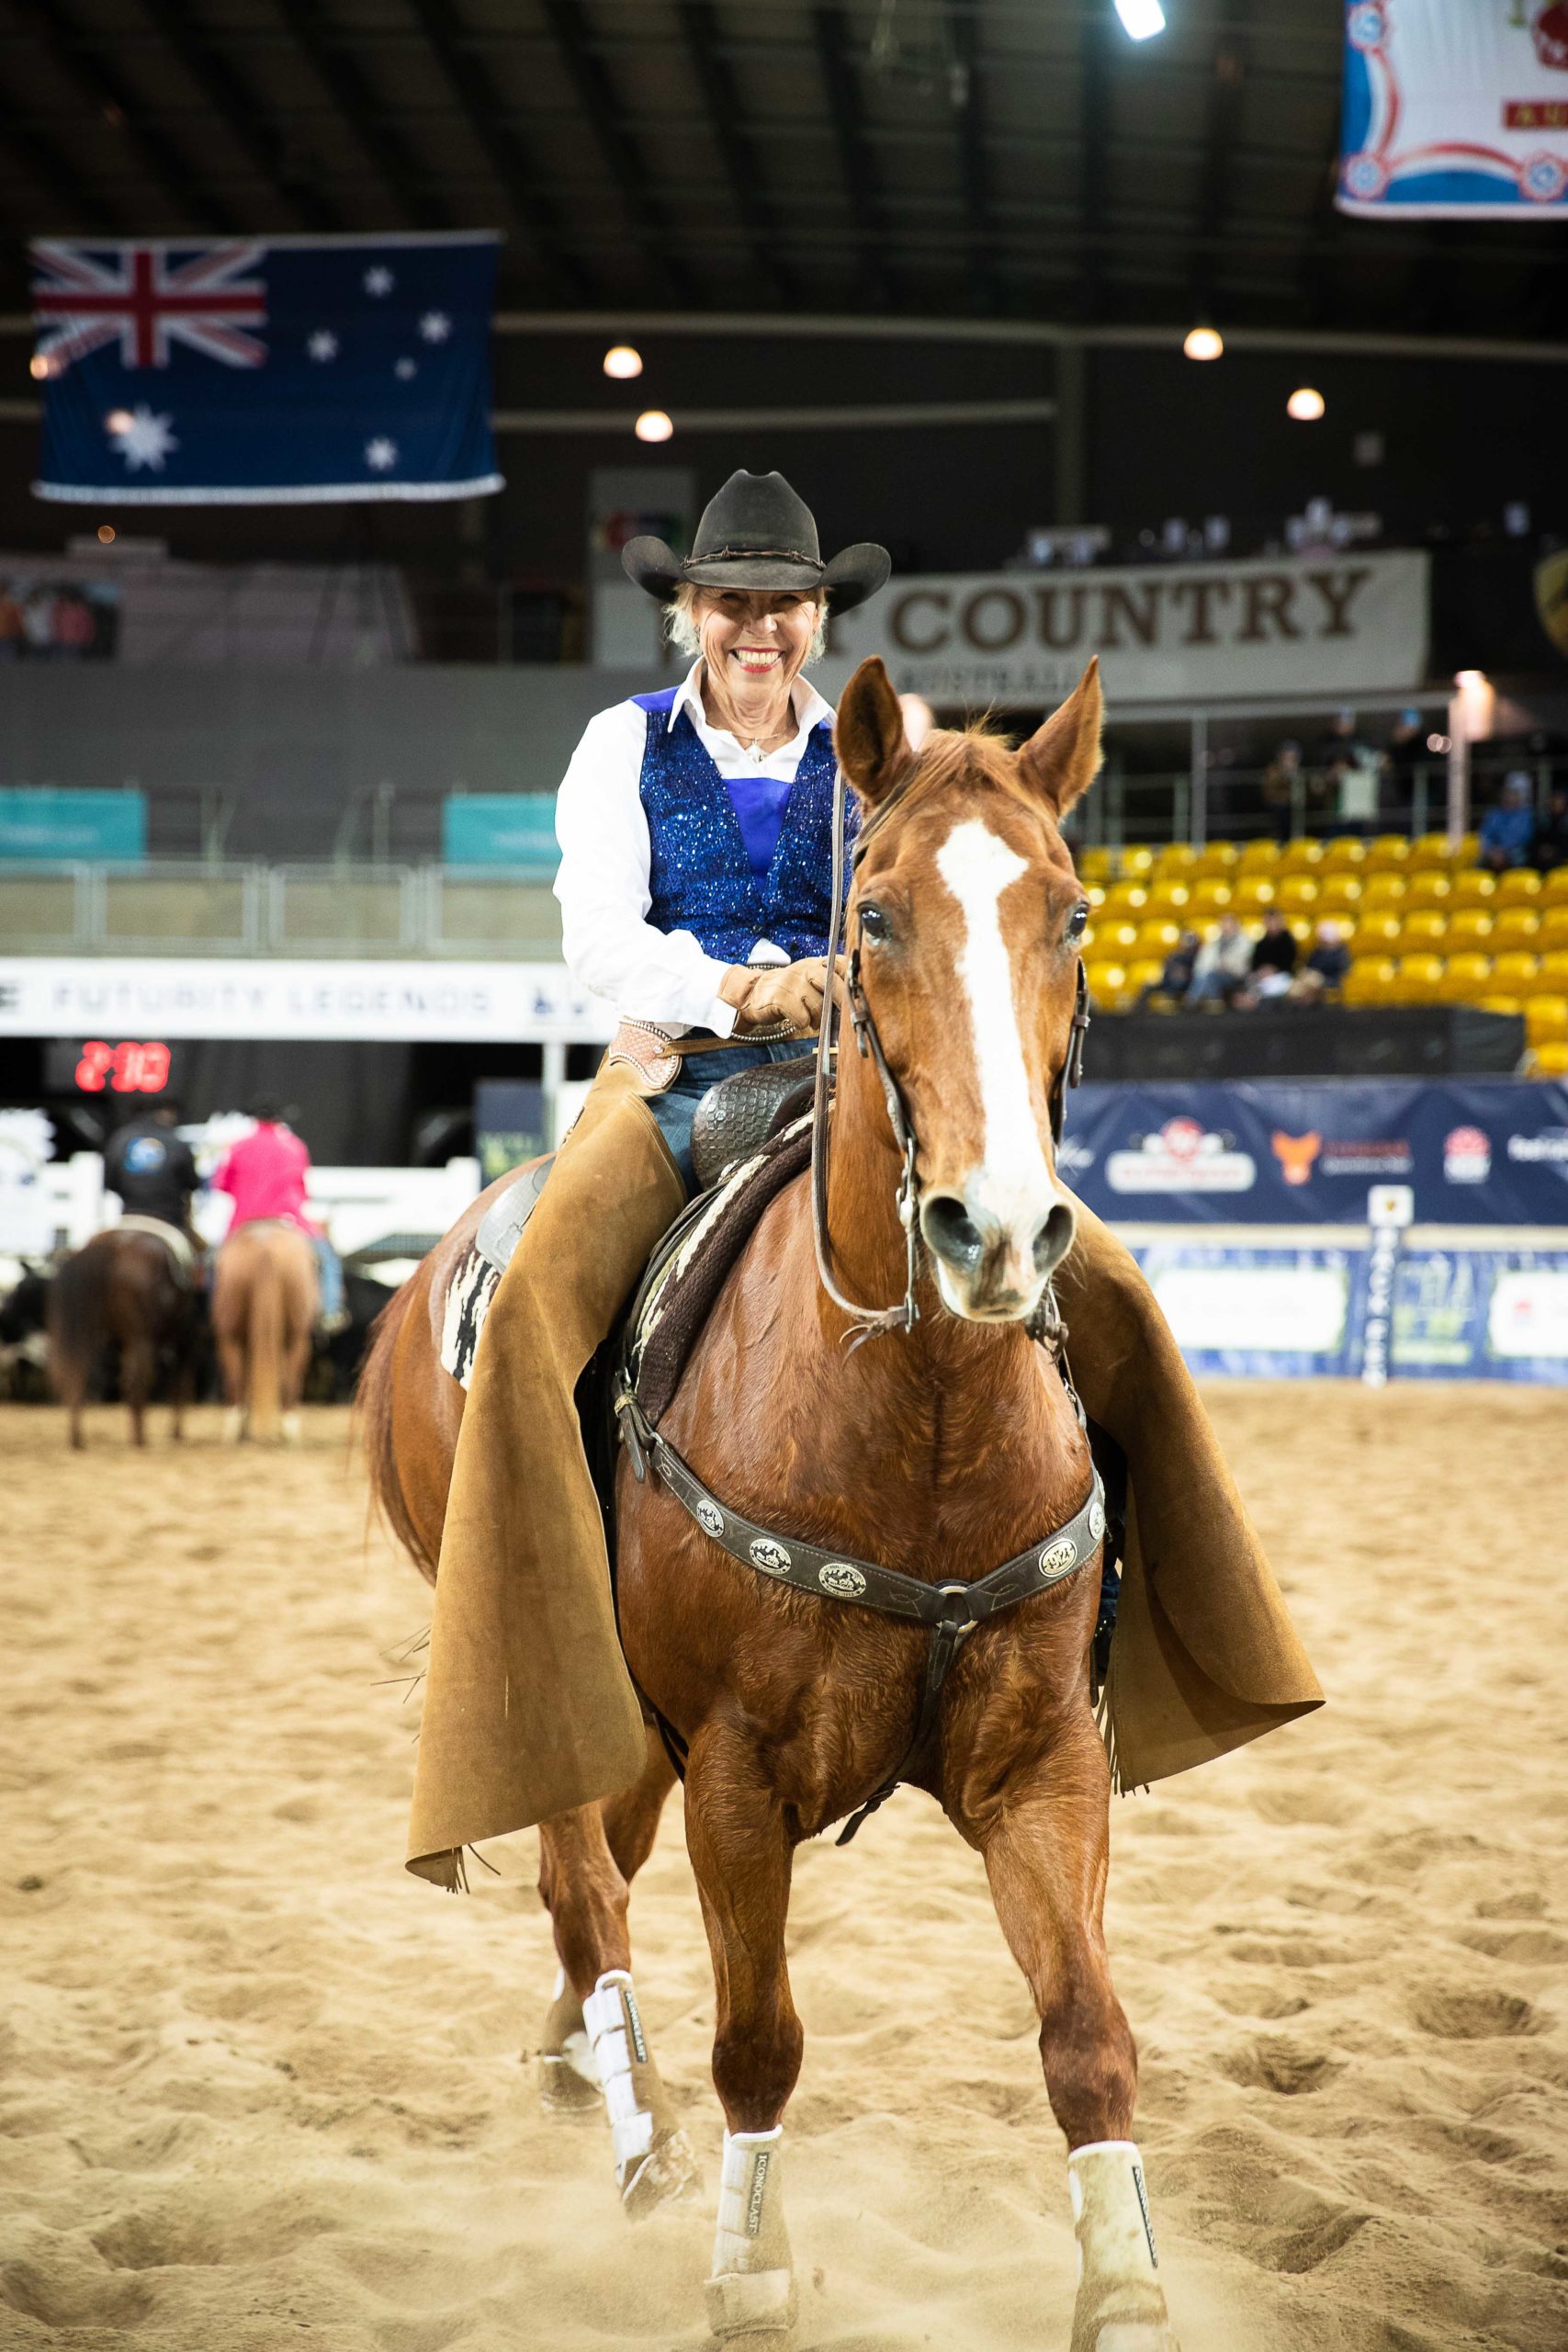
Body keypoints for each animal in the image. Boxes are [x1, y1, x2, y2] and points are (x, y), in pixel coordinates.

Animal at [47, 1225, 201, 1449]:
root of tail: (114, 1246)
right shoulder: (183, 1339)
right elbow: (179, 1384)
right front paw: (176, 1432)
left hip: (93, 1333)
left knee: (79, 1375)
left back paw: (78, 1439)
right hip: (142, 1338)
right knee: (139, 1381)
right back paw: (140, 1438)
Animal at [360, 655, 1180, 2351]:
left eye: (1070, 911)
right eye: (871, 914)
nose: (996, 1229)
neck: (911, 1425)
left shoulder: (1046, 1767)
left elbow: (1084, 2031)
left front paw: (1123, 2281)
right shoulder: (738, 1777)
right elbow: (760, 2040)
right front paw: (748, 2266)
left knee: (595, 1870)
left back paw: (580, 2060)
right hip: (547, 1663)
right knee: (580, 1880)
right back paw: (639, 2129)